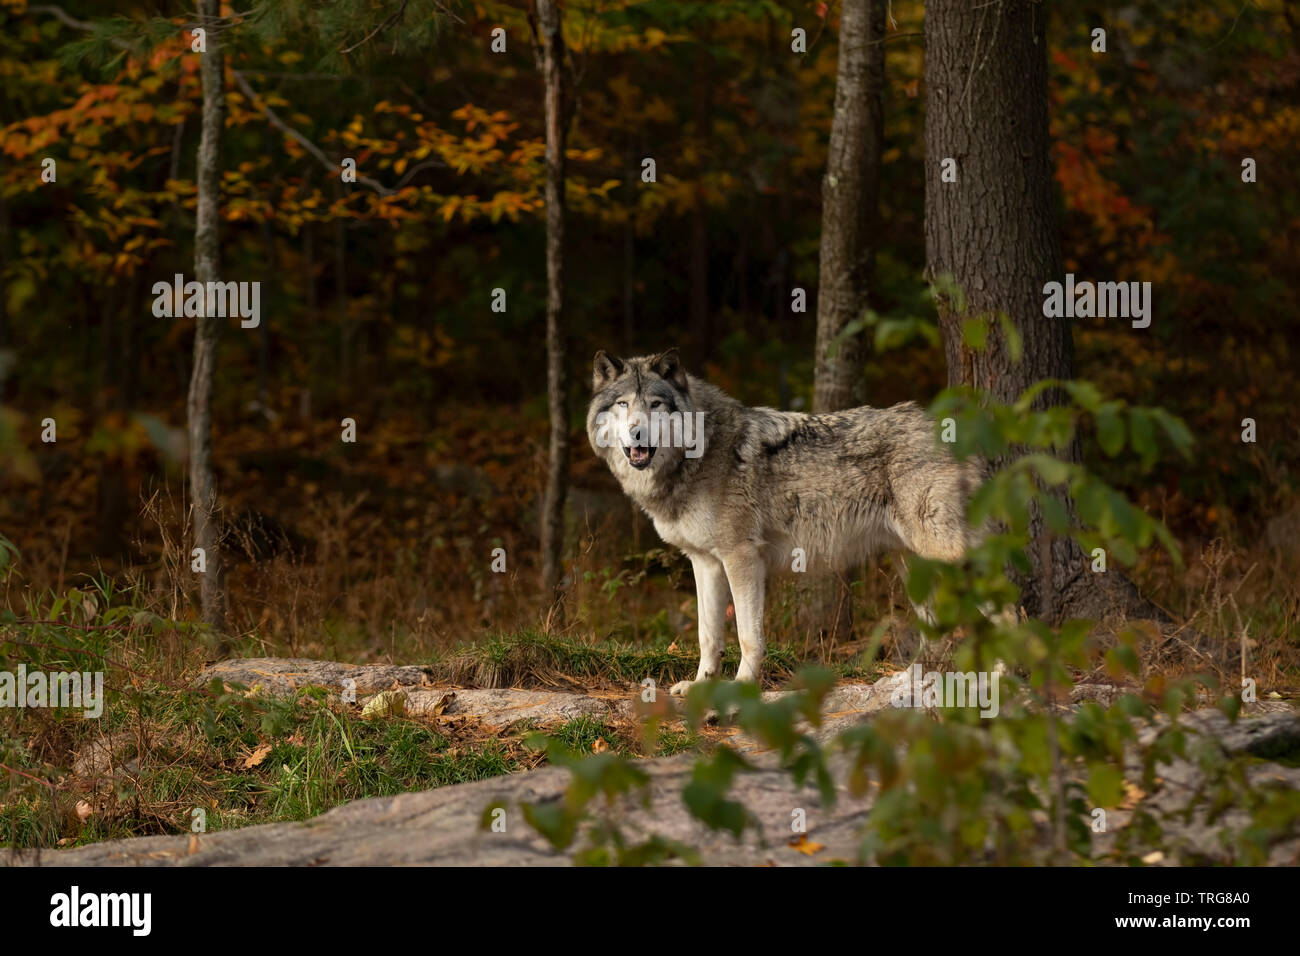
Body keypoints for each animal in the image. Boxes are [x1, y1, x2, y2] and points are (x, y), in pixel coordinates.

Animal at [586, 348, 986, 696]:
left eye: (656, 404)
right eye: (624, 404)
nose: (637, 433)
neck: (696, 455)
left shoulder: (742, 558)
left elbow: (747, 635)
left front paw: (742, 685)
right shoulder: (705, 563)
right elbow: (708, 634)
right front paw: (701, 686)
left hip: (948, 556)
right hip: (911, 565)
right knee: (936, 633)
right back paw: (909, 682)